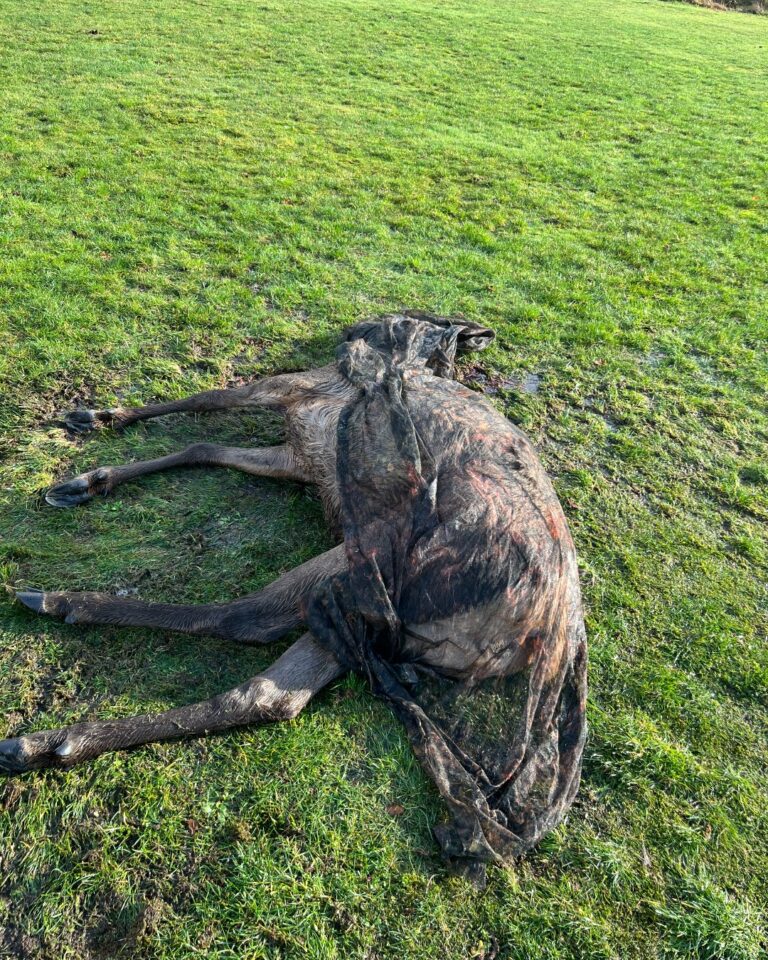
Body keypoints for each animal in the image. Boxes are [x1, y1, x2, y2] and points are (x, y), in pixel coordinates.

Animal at [2, 311, 587, 879]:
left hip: (363, 558)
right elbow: (205, 444)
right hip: (359, 614)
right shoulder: (299, 452)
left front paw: (95, 428)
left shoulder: (296, 392)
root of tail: (533, 642)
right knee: (272, 693)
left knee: (247, 617)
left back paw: (61, 608)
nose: (350, 330)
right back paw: (49, 744)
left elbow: (210, 400)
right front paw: (91, 469)